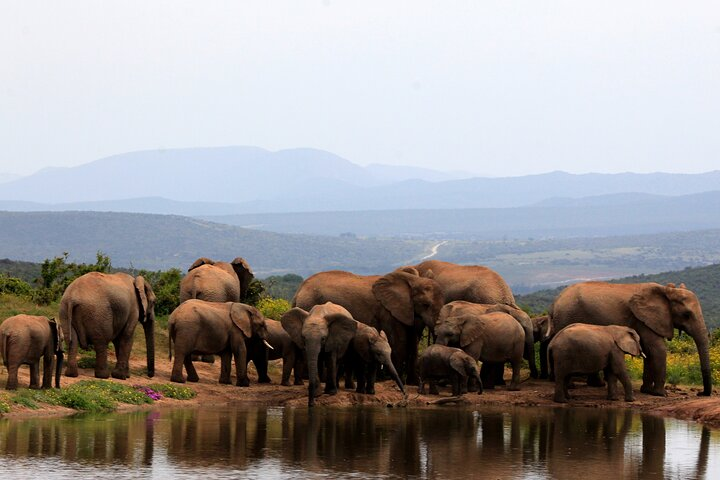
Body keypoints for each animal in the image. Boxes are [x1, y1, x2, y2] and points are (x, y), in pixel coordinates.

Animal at [292, 269, 444, 385]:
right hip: (309, 305)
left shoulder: (407, 311)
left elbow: (412, 345)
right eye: (426, 305)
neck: (413, 280)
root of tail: (299, 291)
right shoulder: (387, 311)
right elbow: (399, 343)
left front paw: (413, 383)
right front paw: (399, 381)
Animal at [548, 281, 712, 397]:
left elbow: (648, 350)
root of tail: (554, 302)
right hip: (566, 316)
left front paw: (646, 391)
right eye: (686, 315)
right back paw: (572, 386)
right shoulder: (643, 319)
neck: (665, 290)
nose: (700, 393)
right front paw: (661, 394)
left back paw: (597, 385)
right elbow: (657, 349)